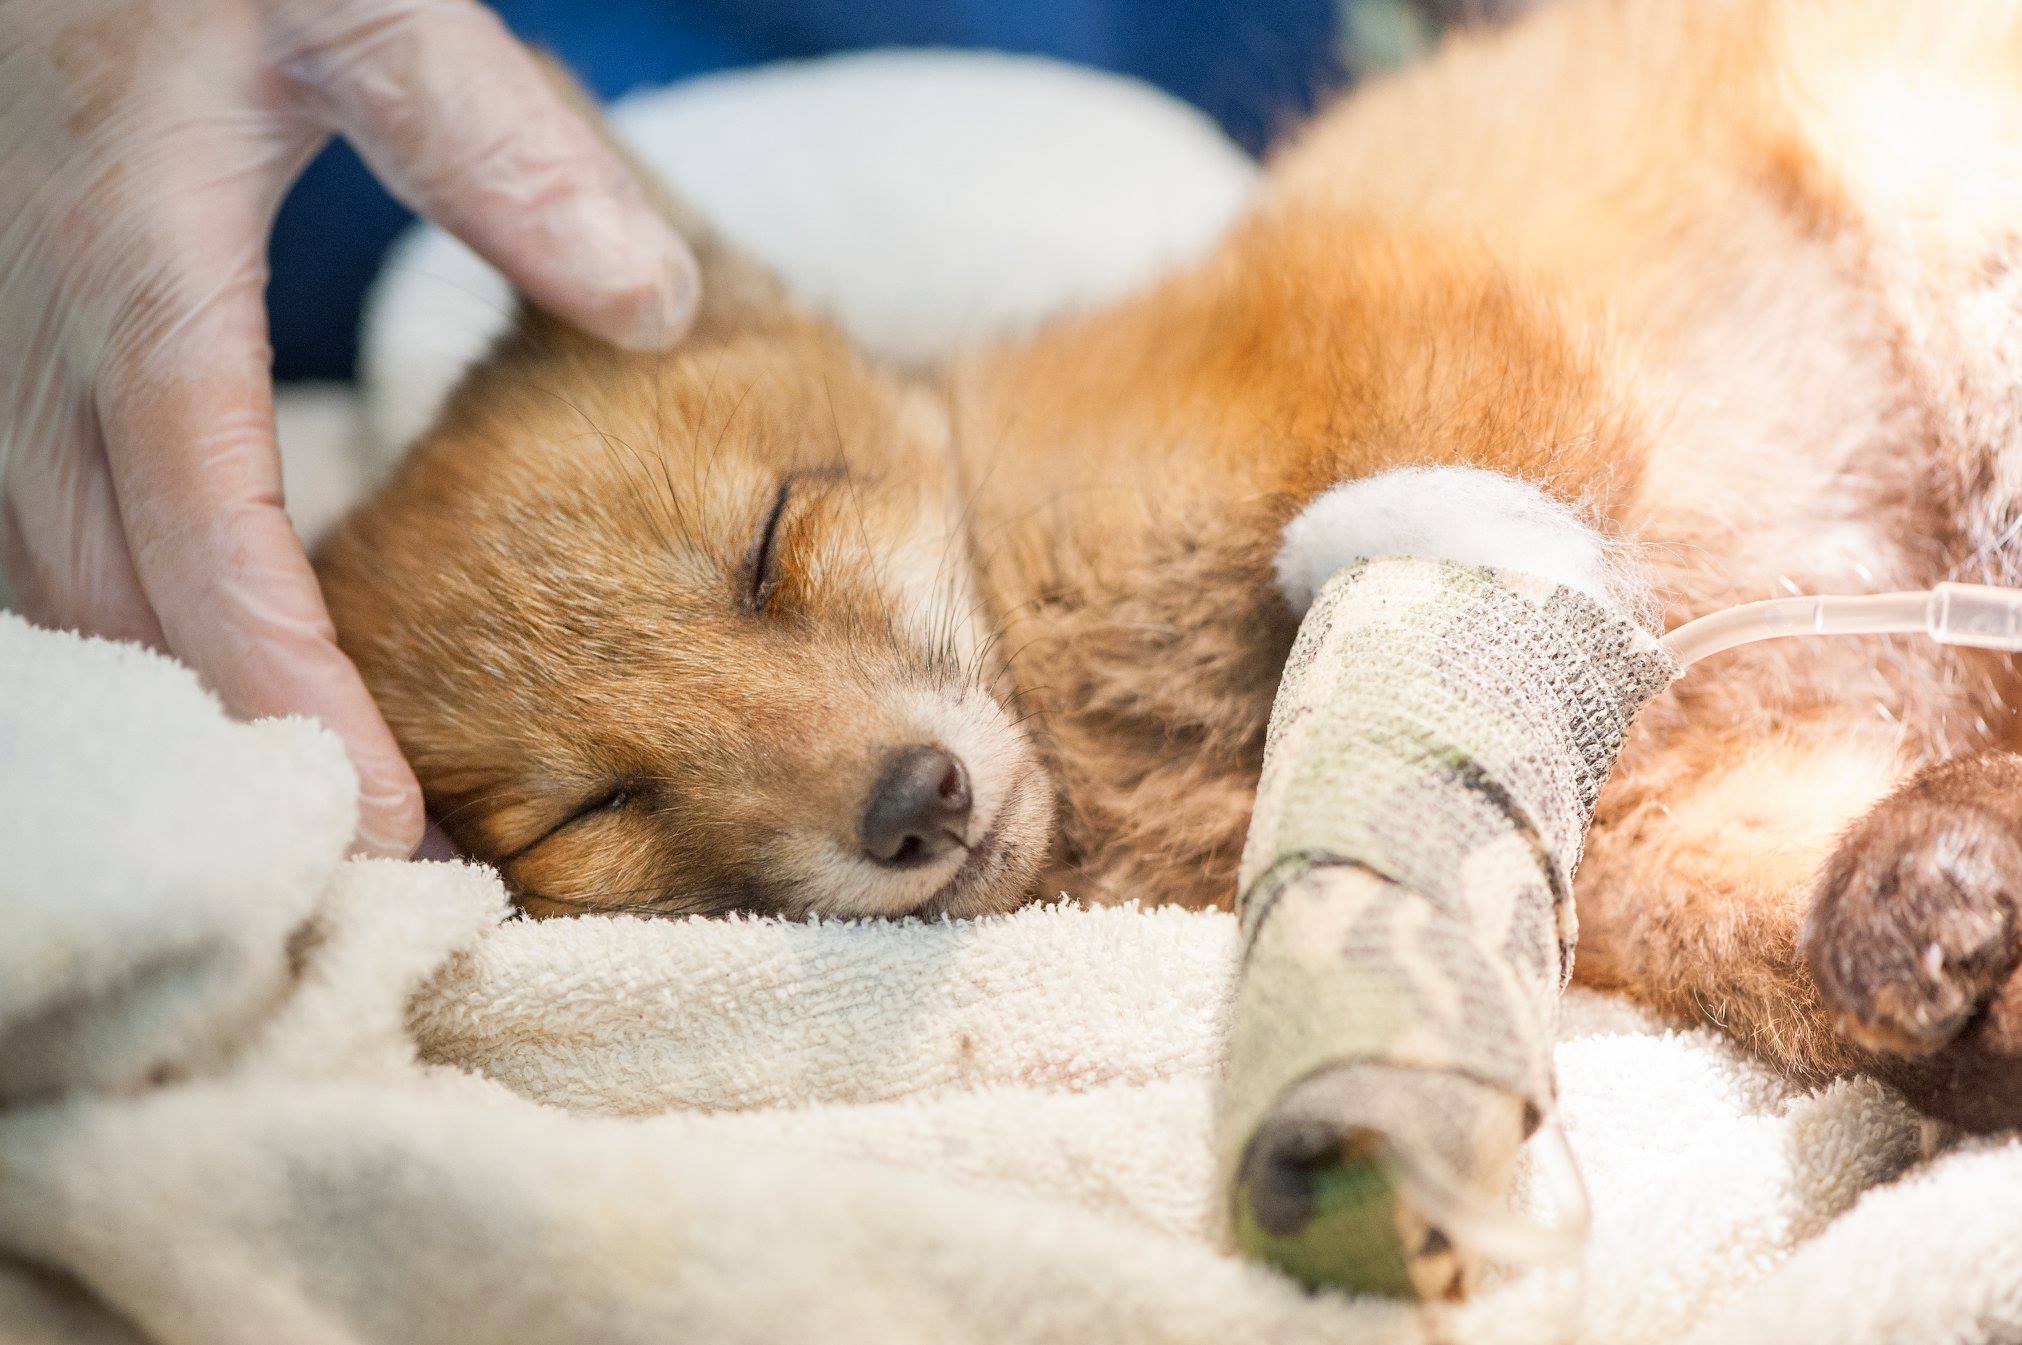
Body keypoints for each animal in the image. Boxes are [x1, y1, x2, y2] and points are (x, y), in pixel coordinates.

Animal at [318, 0, 2022, 1131]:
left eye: (770, 541)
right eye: (592, 808)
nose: (911, 801)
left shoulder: (1427, 340)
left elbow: (1457, 508)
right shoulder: (1647, 832)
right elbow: (1763, 925)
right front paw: (1930, 942)